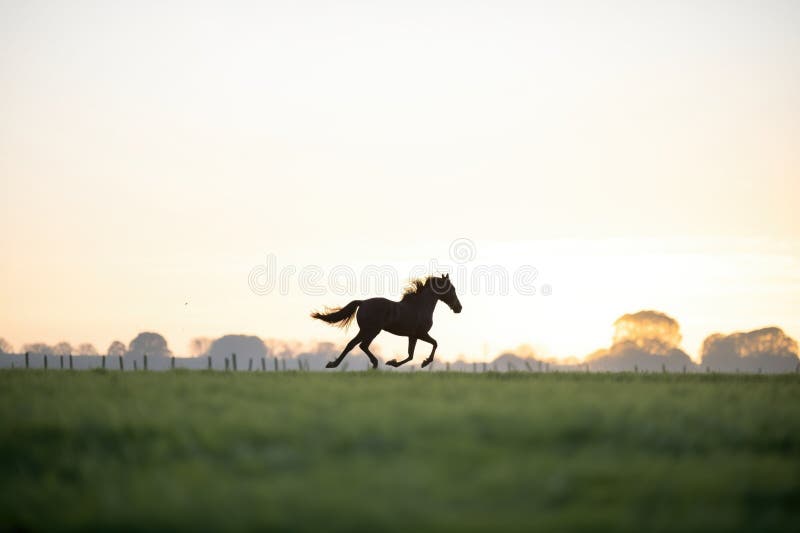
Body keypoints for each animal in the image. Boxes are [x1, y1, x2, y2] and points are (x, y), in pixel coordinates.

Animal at [310, 274, 462, 369]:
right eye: (452, 289)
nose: (459, 308)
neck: (420, 306)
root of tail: (362, 302)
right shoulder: (421, 334)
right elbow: (435, 343)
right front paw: (425, 362)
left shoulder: (412, 336)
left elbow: (411, 355)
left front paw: (393, 362)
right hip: (372, 330)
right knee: (361, 345)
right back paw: (374, 363)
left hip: (365, 330)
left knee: (352, 344)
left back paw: (333, 364)